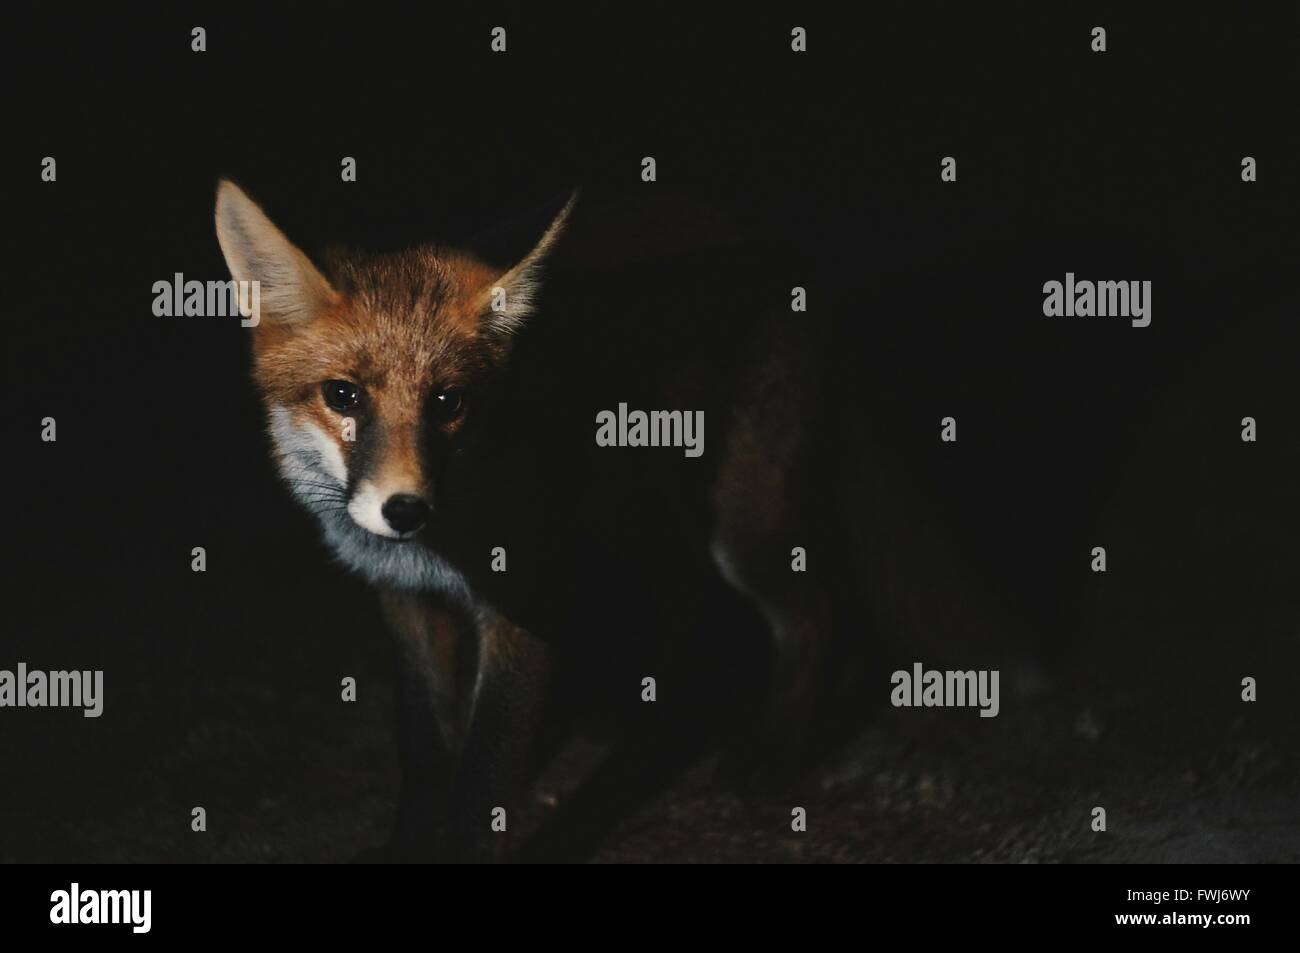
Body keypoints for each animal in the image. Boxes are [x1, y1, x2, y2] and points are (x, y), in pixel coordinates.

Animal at [214, 179, 1030, 862]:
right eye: (343, 395)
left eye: (449, 402)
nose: (405, 509)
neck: (444, 543)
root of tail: (784, 254)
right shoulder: (405, 600)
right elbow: (425, 750)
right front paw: (407, 844)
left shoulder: (521, 609)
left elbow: (483, 781)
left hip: (742, 533)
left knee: (812, 614)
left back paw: (771, 755)